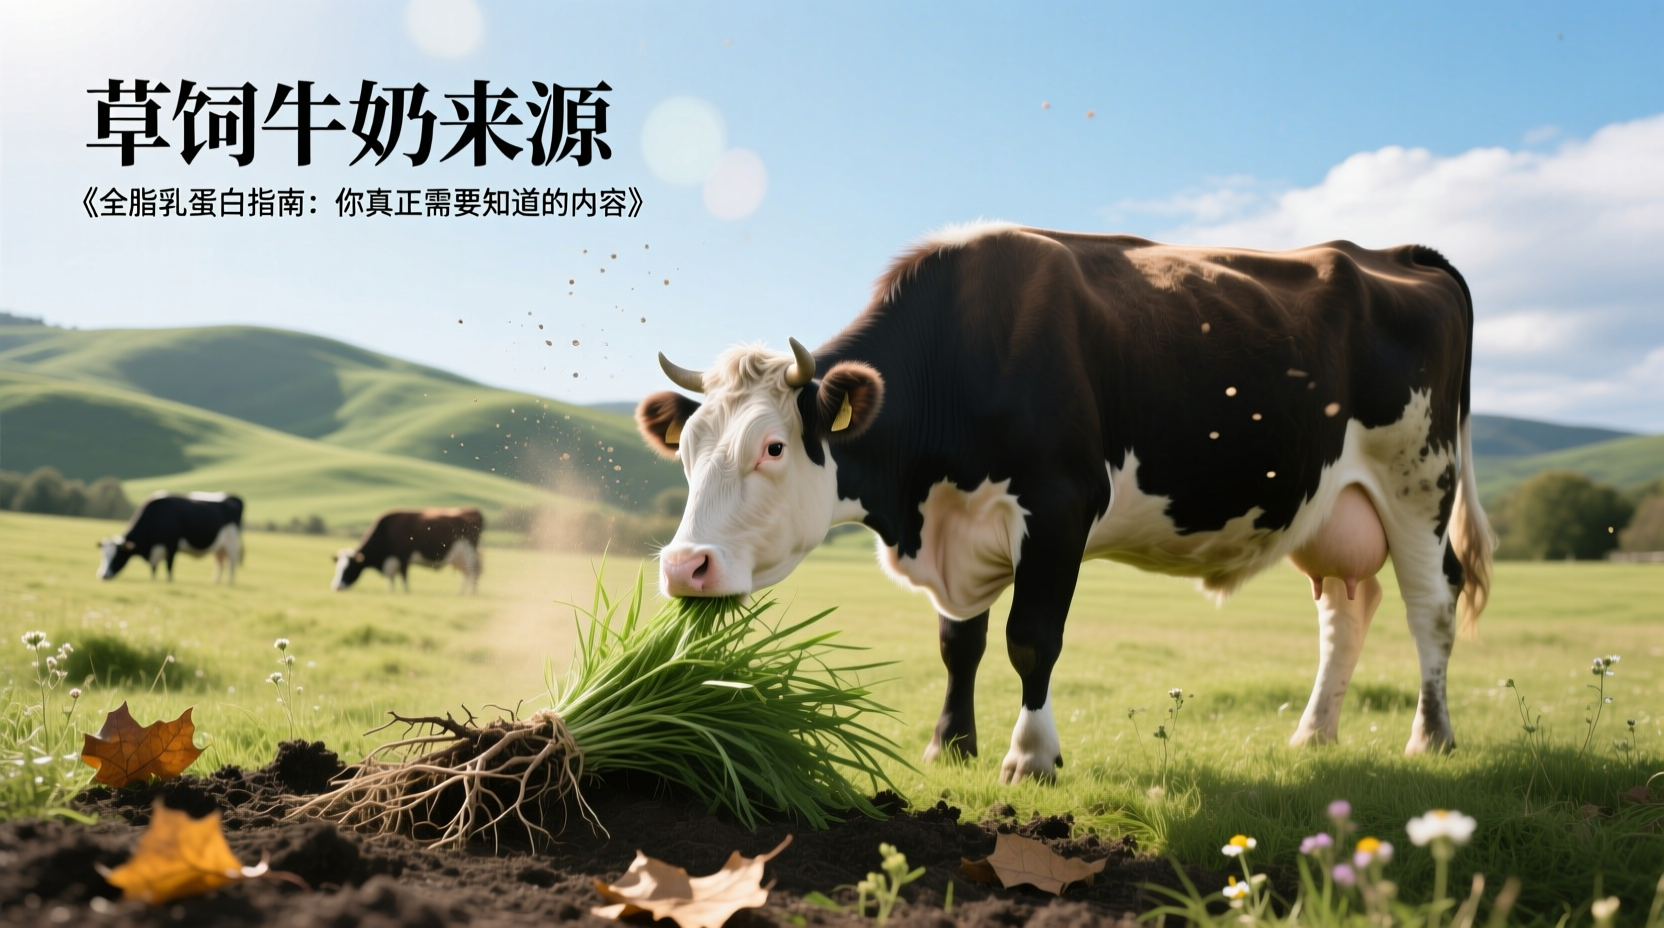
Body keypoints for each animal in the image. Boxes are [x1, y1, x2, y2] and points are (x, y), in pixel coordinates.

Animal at [97, 492, 245, 584]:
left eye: (117, 556)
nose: (103, 575)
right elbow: (154, 569)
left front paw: (169, 581)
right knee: (220, 562)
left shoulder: (172, 545)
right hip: (219, 546)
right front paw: (153, 581)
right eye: (103, 555)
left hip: (231, 542)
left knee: (232, 562)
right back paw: (216, 582)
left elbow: (169, 566)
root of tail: (233, 498)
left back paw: (230, 583)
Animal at [332, 508, 484, 593]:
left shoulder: (403, 557)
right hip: (460, 557)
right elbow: (391, 580)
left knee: (472, 572)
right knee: (467, 573)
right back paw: (463, 592)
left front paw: (406, 592)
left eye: (349, 568)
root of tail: (472, 510)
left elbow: (404, 578)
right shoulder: (392, 561)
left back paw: (471, 593)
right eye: (337, 567)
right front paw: (390, 592)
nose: (335, 587)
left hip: (469, 553)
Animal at [635, 223, 1494, 784]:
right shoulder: (956, 531)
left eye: (773, 448)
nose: (684, 567)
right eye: (686, 448)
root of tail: (1391, 254)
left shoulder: (1057, 507)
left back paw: (1432, 738)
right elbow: (959, 645)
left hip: (1419, 480)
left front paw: (1031, 758)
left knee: (1432, 604)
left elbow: (1030, 640)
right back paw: (1313, 737)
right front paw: (951, 747)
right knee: (1347, 610)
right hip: (1329, 503)